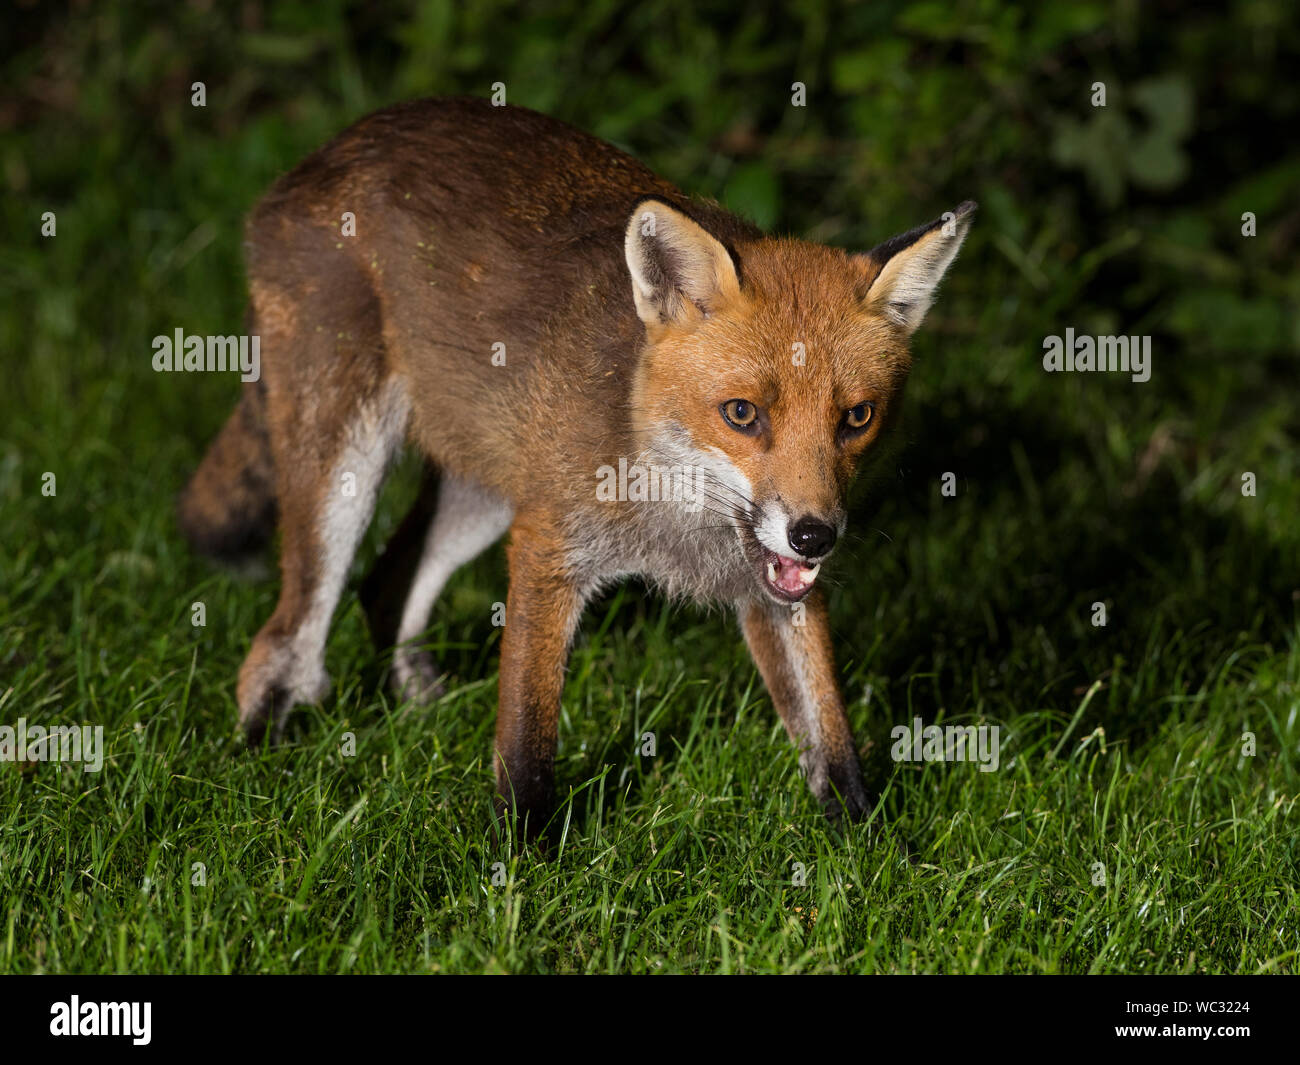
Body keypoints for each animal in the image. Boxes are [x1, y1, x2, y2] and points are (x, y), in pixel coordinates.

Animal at [178, 96, 975, 839]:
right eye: (743, 414)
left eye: (856, 419)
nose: (816, 537)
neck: (665, 492)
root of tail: (329, 149)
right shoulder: (549, 547)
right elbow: (527, 737)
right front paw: (521, 863)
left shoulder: (774, 585)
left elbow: (831, 737)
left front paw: (869, 851)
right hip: (346, 471)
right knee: (285, 644)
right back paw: (258, 765)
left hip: (488, 490)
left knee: (386, 586)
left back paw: (423, 711)